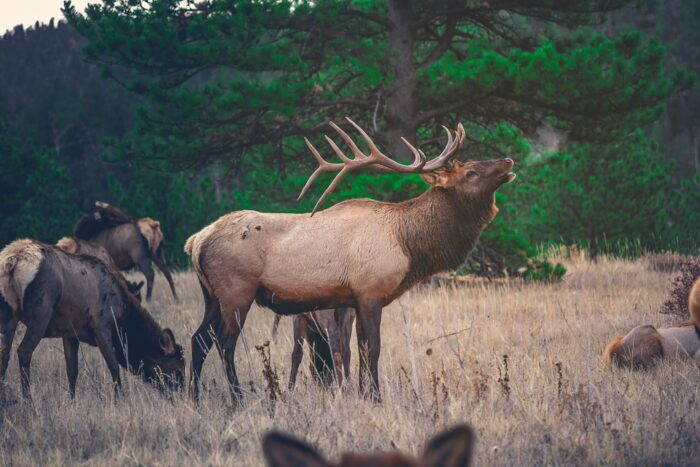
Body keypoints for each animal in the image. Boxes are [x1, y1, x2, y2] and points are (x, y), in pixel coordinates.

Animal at [0, 239, 185, 399]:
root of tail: (13, 260)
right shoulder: (101, 326)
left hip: (9, 316)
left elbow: (72, 370)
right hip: (40, 313)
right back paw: (28, 401)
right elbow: (114, 367)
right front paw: (119, 400)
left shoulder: (69, 332)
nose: (182, 395)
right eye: (178, 369)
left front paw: (72, 400)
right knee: (24, 351)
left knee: (4, 355)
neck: (122, 314)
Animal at [185, 117, 516, 403]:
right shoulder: (370, 292)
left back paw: (195, 397)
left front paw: (363, 394)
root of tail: (196, 241)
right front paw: (376, 398)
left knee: (198, 339)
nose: (508, 161)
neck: (407, 244)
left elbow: (358, 350)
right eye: (470, 172)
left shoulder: (353, 299)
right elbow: (373, 348)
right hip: (237, 290)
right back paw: (237, 398)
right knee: (224, 344)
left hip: (211, 295)